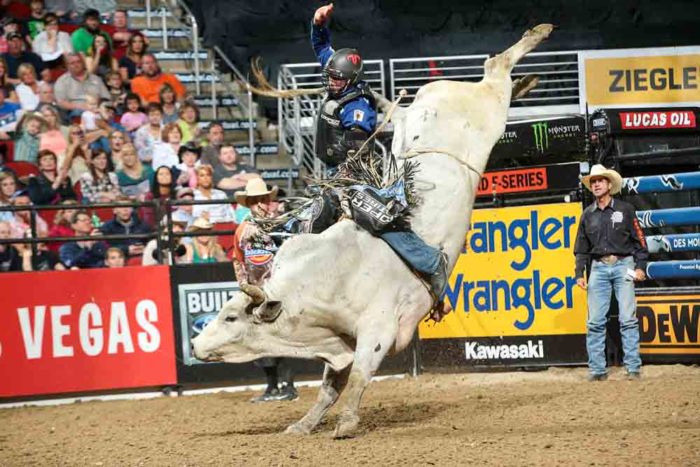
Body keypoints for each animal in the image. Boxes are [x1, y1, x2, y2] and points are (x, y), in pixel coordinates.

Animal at [192, 24, 554, 438]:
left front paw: (347, 423)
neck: (317, 285)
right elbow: (330, 387)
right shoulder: (340, 343)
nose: (195, 344)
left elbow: (360, 376)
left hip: (487, 111)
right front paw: (304, 424)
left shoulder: (377, 329)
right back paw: (527, 81)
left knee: (496, 69)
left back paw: (536, 38)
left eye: (230, 317)